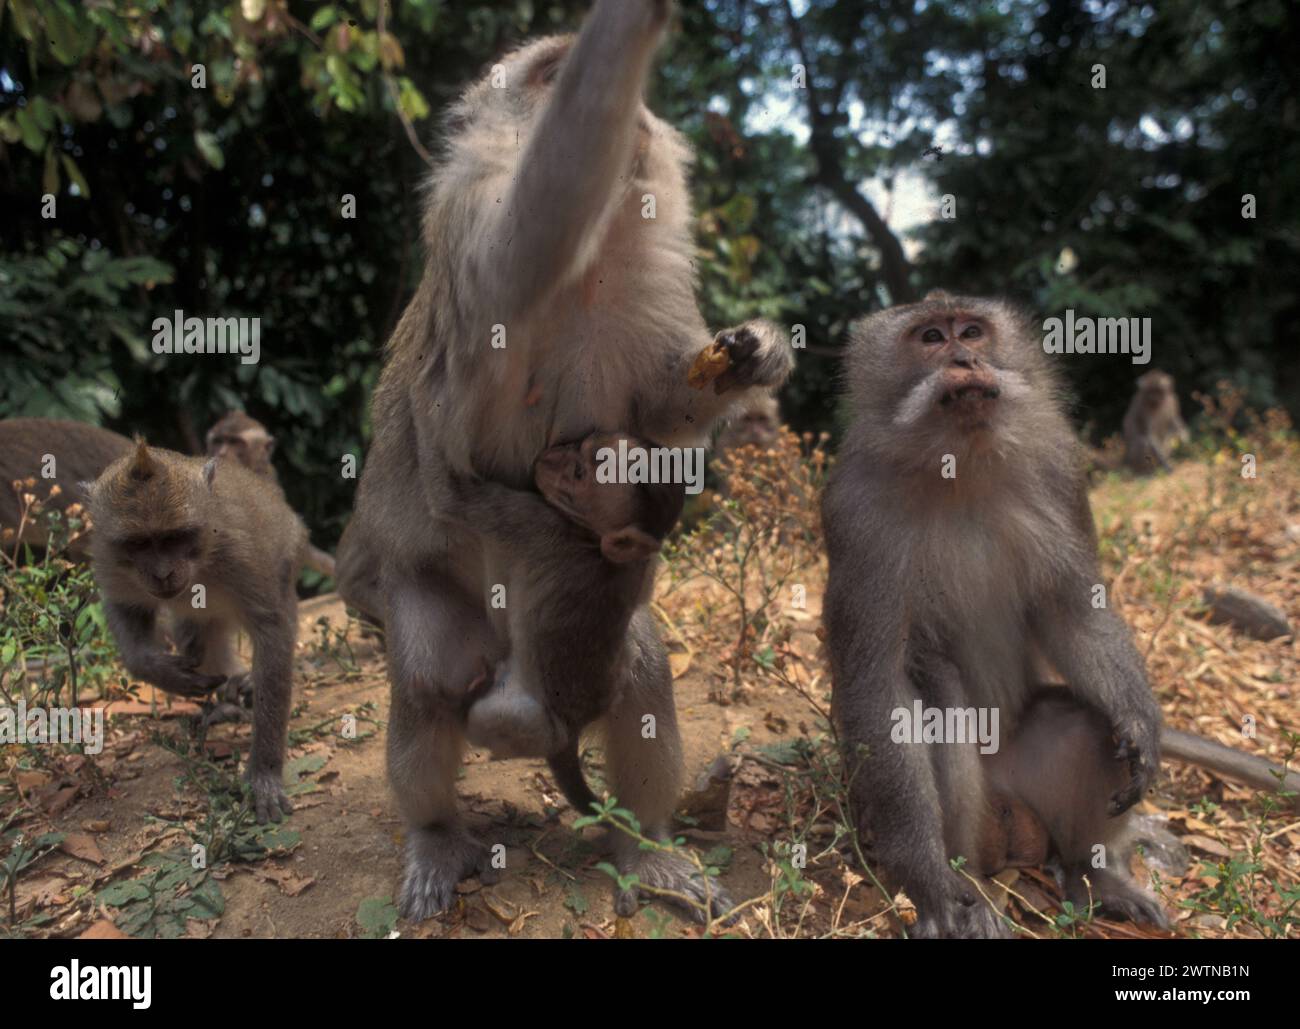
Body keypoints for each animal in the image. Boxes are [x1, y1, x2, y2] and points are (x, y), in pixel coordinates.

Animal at [86, 440, 306, 822]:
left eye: (175, 537)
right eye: (139, 543)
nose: (161, 574)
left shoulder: (241, 554)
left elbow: (272, 629)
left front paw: (264, 774)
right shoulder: (112, 560)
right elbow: (124, 607)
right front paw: (163, 672)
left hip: (287, 556)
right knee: (196, 632)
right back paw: (225, 704)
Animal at [343, 0, 793, 922]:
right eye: (553, 76)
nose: (636, 120)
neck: (597, 257)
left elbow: (658, 411)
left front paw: (755, 354)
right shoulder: (477, 209)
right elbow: (526, 241)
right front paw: (629, 23)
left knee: (641, 669)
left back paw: (644, 843)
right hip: (428, 594)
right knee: (432, 679)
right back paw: (437, 836)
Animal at [822, 290, 1166, 937]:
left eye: (973, 332)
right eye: (931, 337)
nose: (963, 359)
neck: (960, 462)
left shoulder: (1059, 473)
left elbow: (1074, 612)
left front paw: (1140, 723)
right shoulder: (856, 511)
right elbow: (879, 682)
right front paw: (927, 878)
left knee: (1083, 722)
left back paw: (1093, 873)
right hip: (976, 815)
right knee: (933, 683)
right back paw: (971, 888)